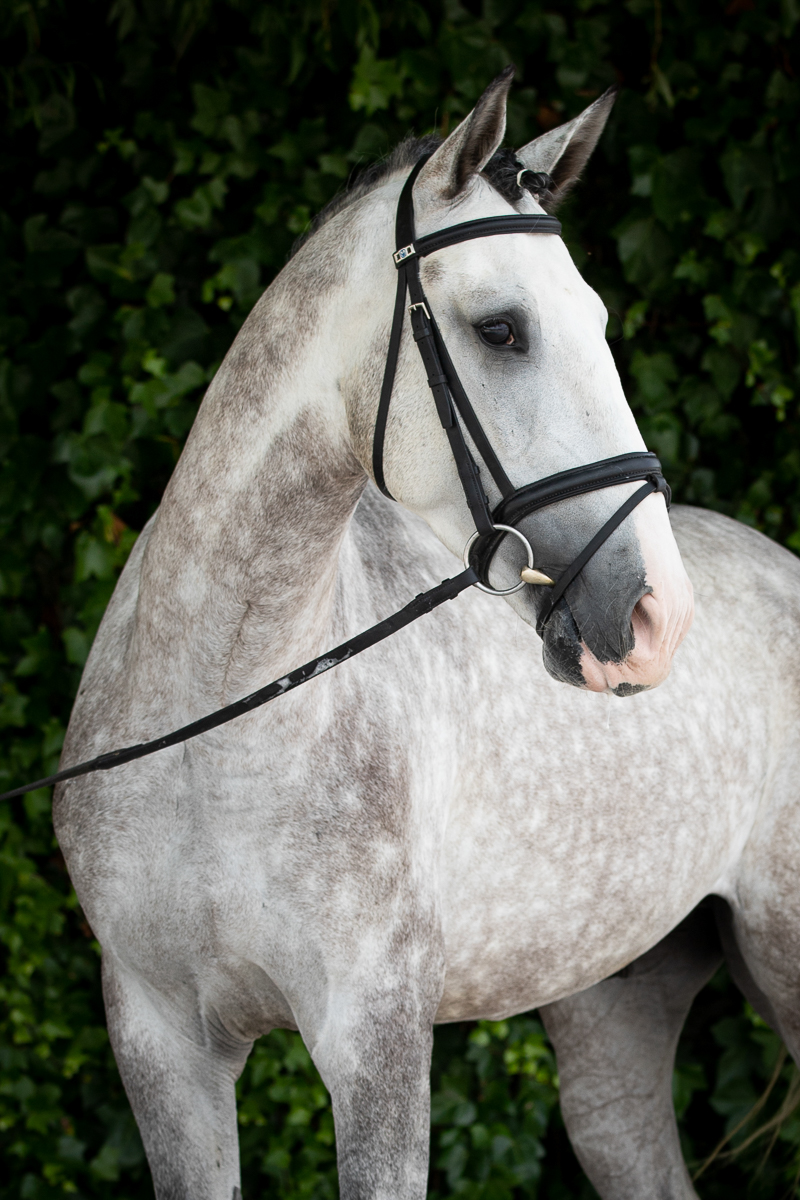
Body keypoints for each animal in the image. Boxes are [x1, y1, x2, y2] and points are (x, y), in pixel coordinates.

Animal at [53, 69, 800, 1200]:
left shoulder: (376, 1042)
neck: (220, 729)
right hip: (610, 1024)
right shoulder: (163, 1047)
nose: (652, 621)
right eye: (501, 330)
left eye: (597, 318)